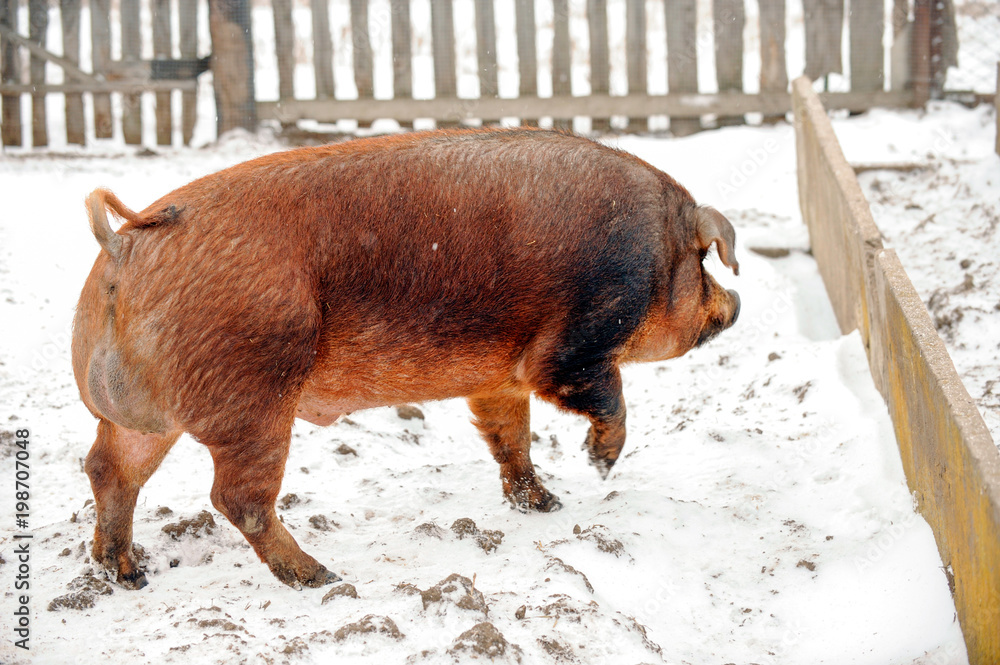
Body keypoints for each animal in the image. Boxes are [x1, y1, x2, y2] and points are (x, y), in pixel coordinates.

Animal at [72, 128, 740, 590]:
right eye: (704, 260)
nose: (734, 303)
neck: (653, 260)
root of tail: (124, 245)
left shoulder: (498, 377)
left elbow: (510, 437)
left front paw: (546, 505)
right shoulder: (576, 344)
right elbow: (602, 393)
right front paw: (599, 467)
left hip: (141, 416)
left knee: (108, 468)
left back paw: (128, 575)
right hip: (252, 397)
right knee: (236, 498)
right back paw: (323, 579)